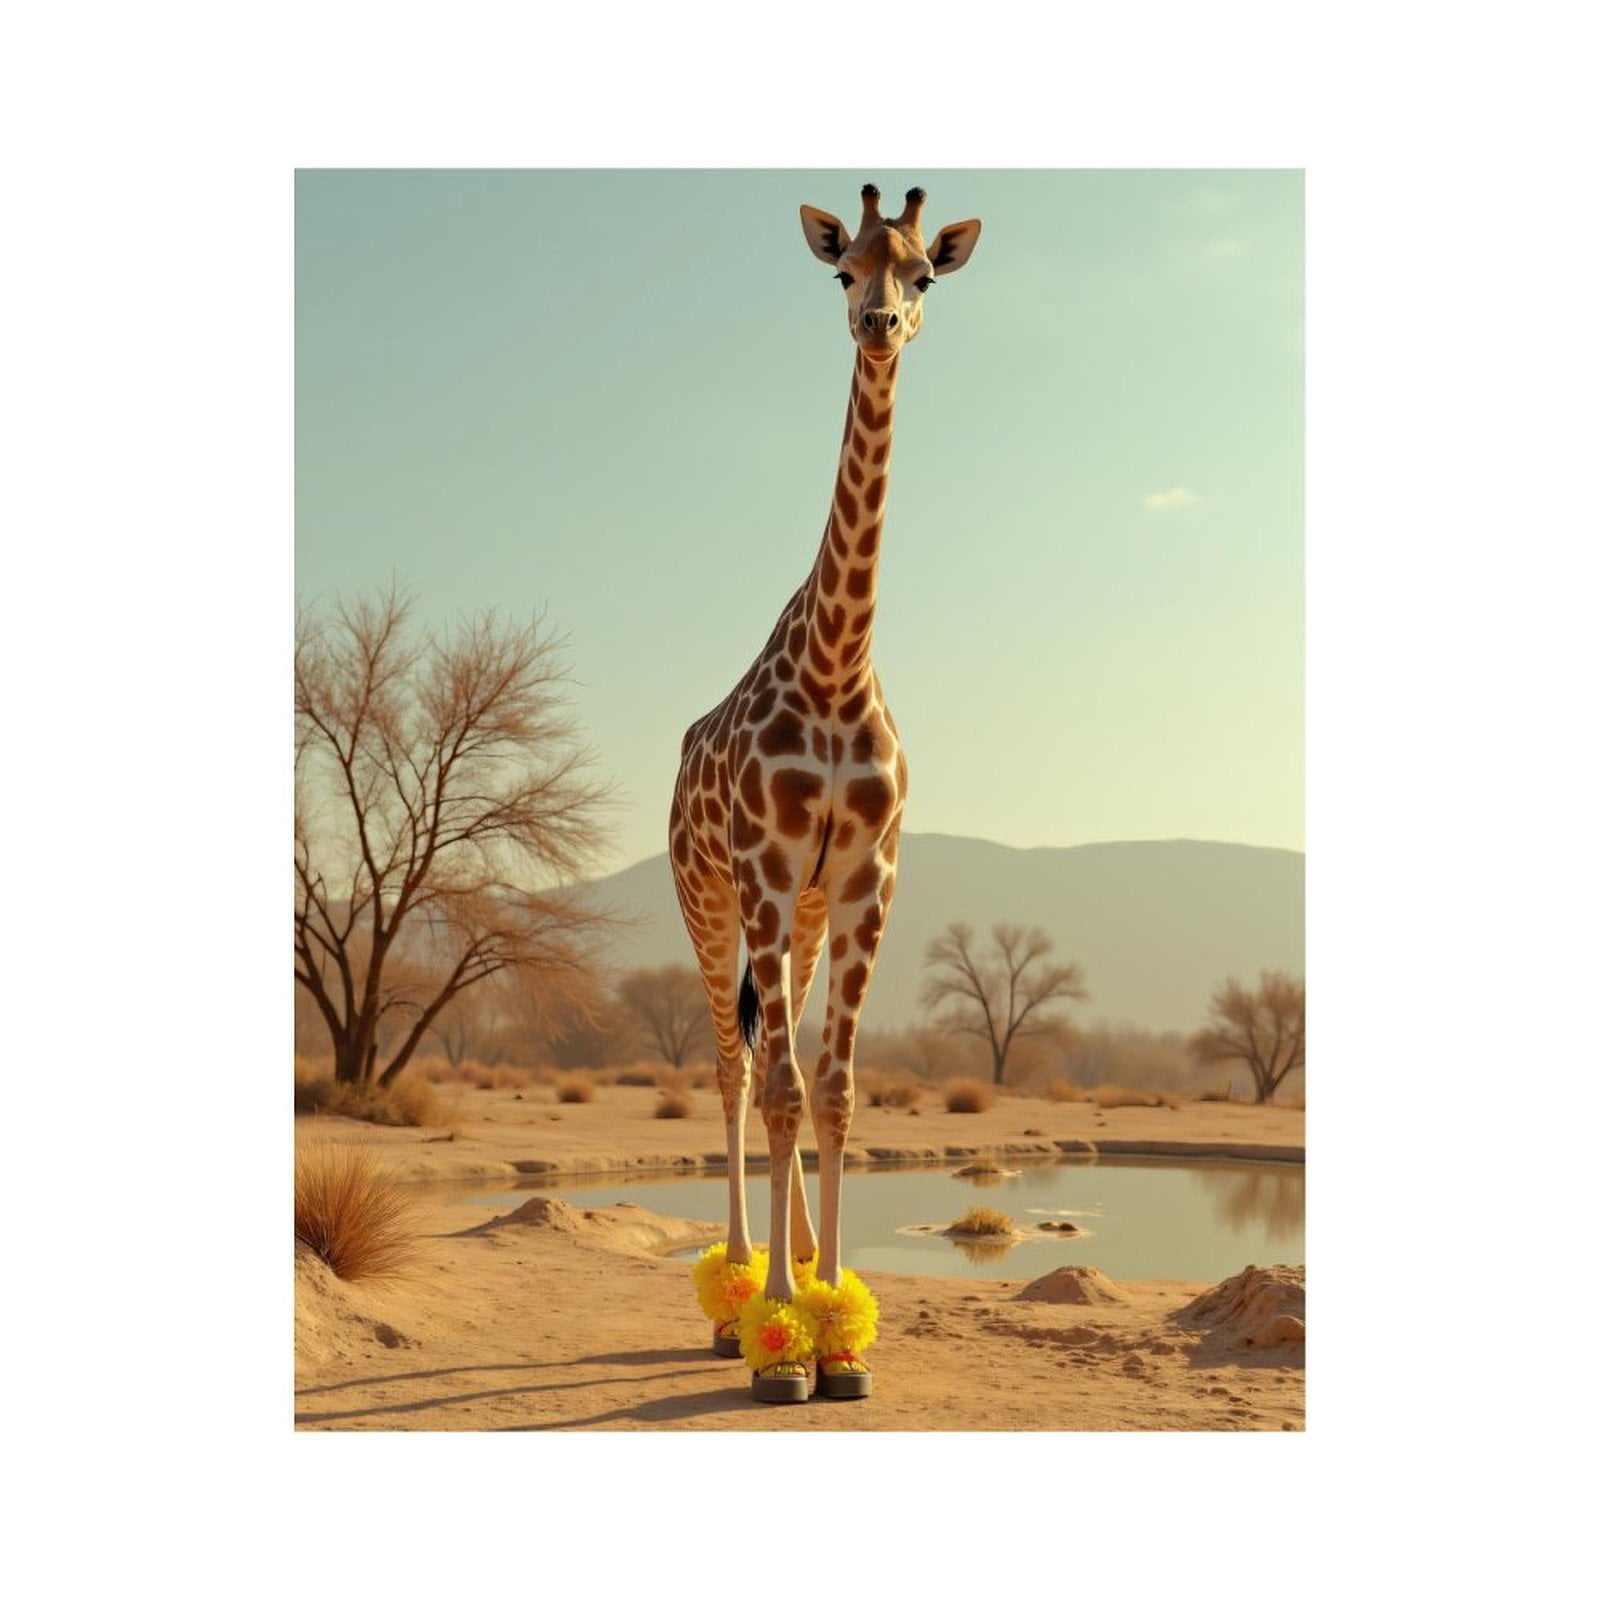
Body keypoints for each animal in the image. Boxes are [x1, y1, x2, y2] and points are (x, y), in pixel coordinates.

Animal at [669, 183, 981, 1403]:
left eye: (924, 273)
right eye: (842, 270)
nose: (879, 326)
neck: (840, 661)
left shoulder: (862, 879)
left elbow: (839, 1090)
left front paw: (838, 1334)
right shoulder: (762, 871)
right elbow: (782, 1088)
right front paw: (780, 1349)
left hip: (794, 923)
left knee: (782, 1062)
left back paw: (793, 1281)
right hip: (713, 907)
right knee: (734, 1066)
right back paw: (738, 1302)